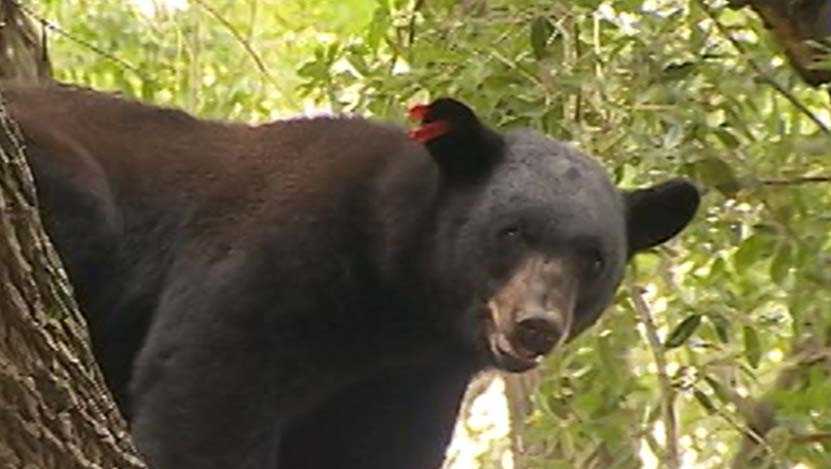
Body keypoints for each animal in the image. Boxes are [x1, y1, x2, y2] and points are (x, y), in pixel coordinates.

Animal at [5, 84, 699, 469]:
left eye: (594, 259)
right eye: (512, 233)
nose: (535, 325)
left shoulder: (409, 378)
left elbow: (375, 450)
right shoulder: (274, 250)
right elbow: (205, 394)